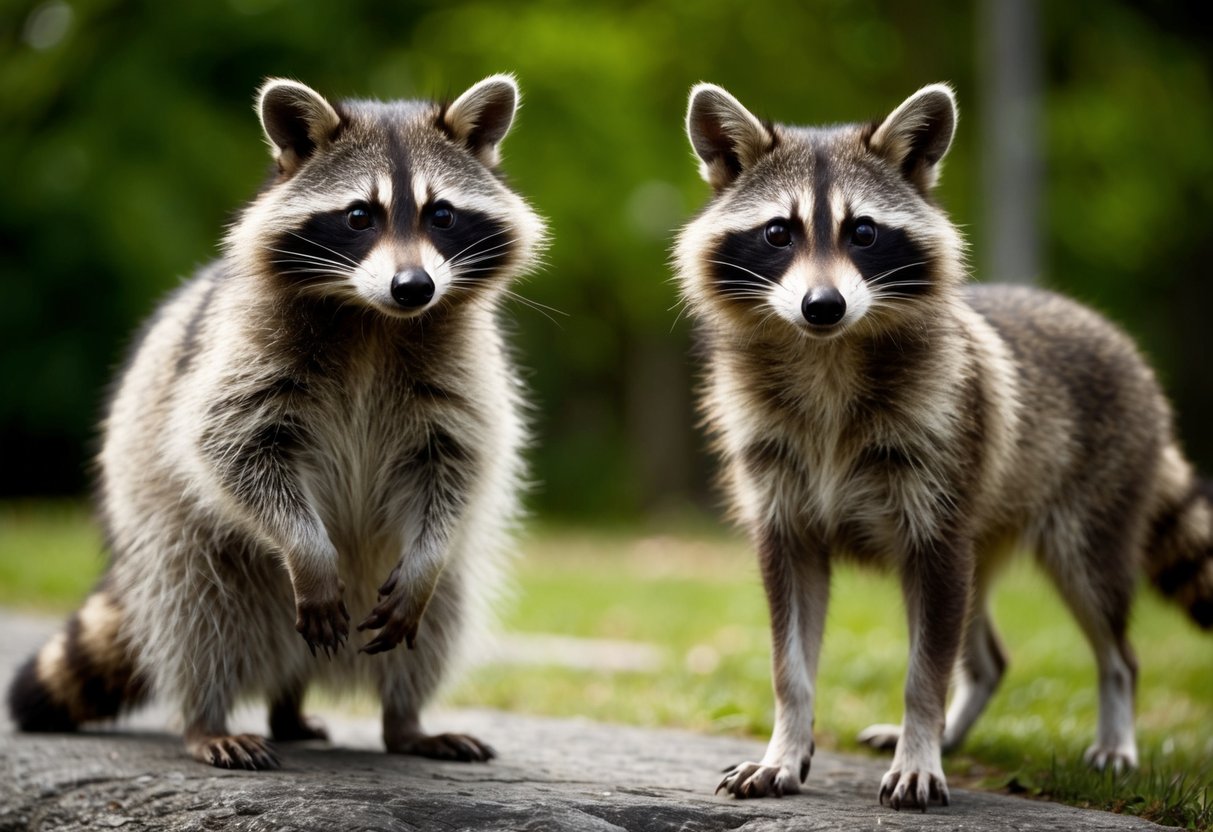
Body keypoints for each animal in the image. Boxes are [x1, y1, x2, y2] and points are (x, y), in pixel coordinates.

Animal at [7, 75, 546, 769]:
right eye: (359, 216)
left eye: (442, 215)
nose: (413, 287)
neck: (375, 320)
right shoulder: (241, 357)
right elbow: (229, 448)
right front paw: (307, 550)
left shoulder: (465, 375)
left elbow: (461, 462)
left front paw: (426, 560)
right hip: (173, 534)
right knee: (195, 616)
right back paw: (207, 717)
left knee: (438, 618)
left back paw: (392, 718)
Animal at [675, 83, 1213, 809]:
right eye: (778, 233)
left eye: (863, 232)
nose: (823, 306)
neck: (827, 357)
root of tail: (1115, 338)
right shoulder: (782, 508)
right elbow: (790, 660)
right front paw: (785, 746)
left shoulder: (938, 500)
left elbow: (923, 667)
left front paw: (920, 741)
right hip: (976, 529)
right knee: (986, 655)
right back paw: (959, 724)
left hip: (1076, 507)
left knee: (1103, 617)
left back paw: (1110, 722)